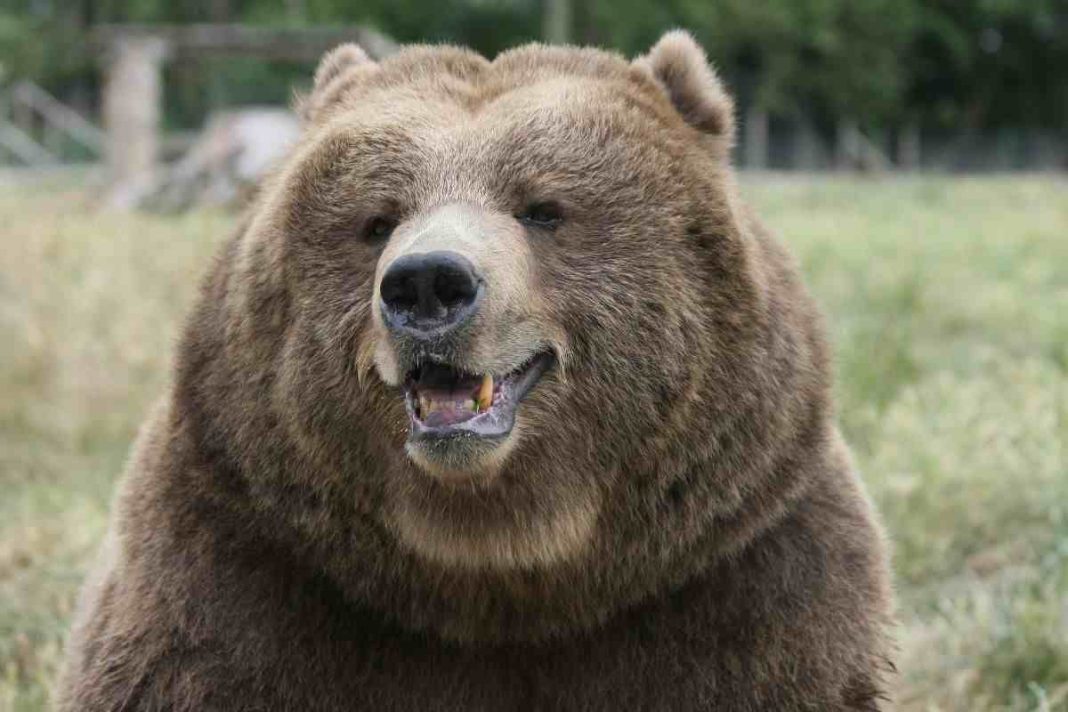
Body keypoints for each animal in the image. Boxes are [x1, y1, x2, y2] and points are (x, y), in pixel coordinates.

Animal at [58, 32, 895, 711]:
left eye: (543, 207)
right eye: (378, 219)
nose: (427, 283)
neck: (496, 566)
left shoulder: (741, 572)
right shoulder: (242, 573)